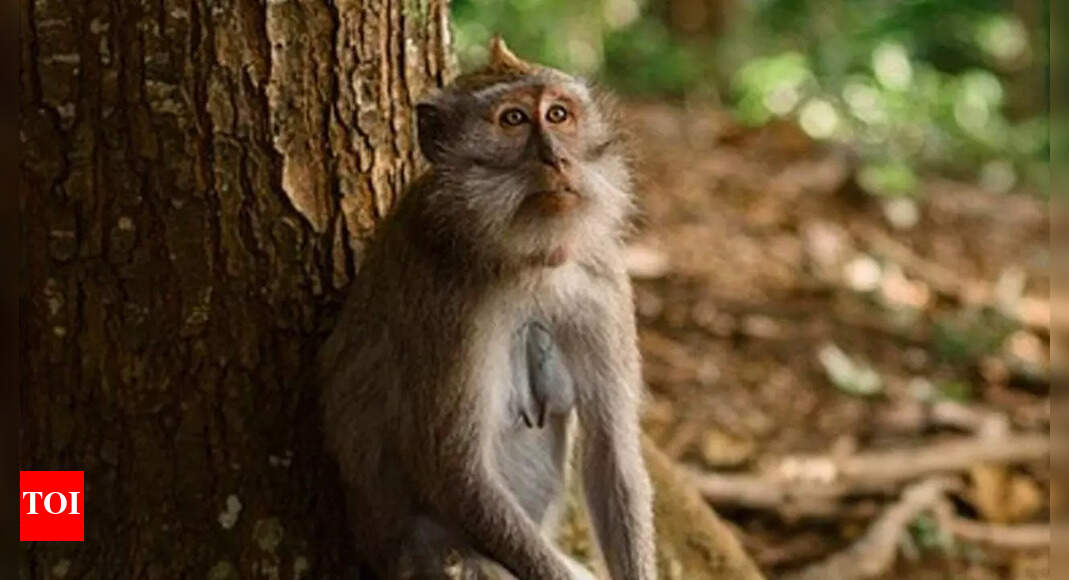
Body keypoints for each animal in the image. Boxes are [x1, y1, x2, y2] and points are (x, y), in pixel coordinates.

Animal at [319, 37, 656, 580]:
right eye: (513, 119)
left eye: (558, 114)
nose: (557, 158)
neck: (527, 257)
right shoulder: (447, 302)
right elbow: (455, 468)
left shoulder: (601, 280)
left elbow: (612, 454)